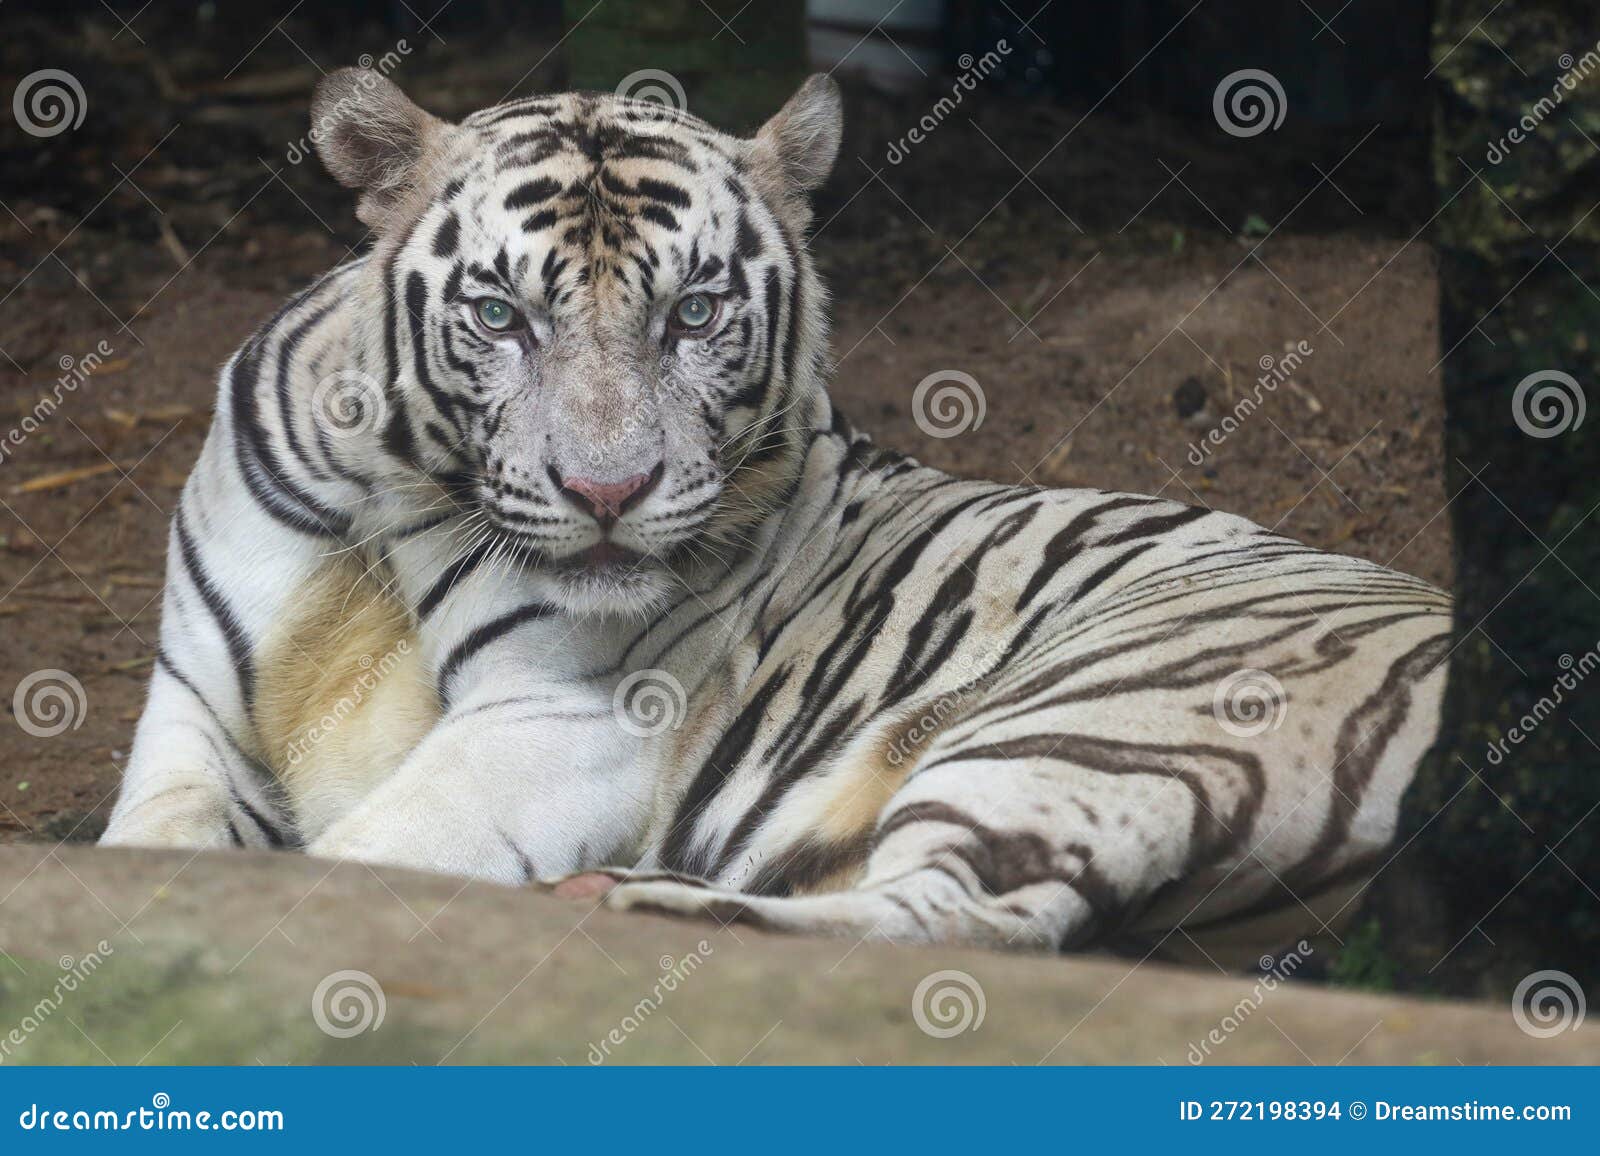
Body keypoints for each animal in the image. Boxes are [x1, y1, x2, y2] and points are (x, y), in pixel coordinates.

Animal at [100, 69, 1452, 960]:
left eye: (693, 315)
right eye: (499, 316)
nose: (608, 493)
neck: (399, 486)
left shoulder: (569, 716)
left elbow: (361, 851)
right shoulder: (193, 717)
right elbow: (140, 849)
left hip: (1106, 716)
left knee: (978, 921)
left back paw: (632, 900)